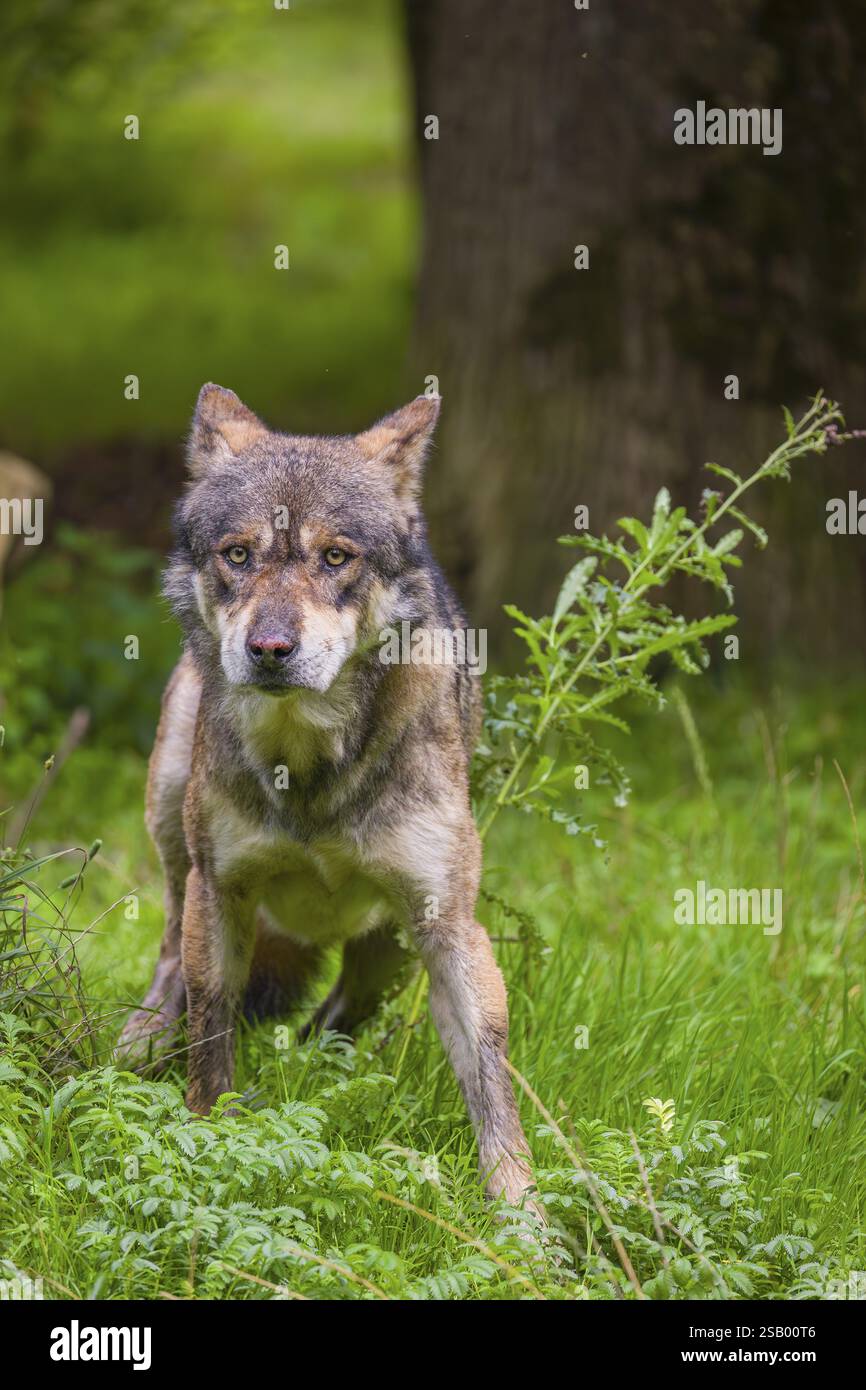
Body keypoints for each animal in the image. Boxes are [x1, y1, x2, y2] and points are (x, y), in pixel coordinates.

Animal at [116, 384, 536, 1208]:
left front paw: (522, 1216)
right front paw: (205, 1145)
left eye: (335, 557)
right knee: (171, 953)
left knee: (333, 1023)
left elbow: (492, 1081)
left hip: (392, 955)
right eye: (238, 555)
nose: (270, 650)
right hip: (177, 816)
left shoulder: (449, 927)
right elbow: (211, 1044)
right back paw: (140, 1044)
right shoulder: (223, 897)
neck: (306, 766)